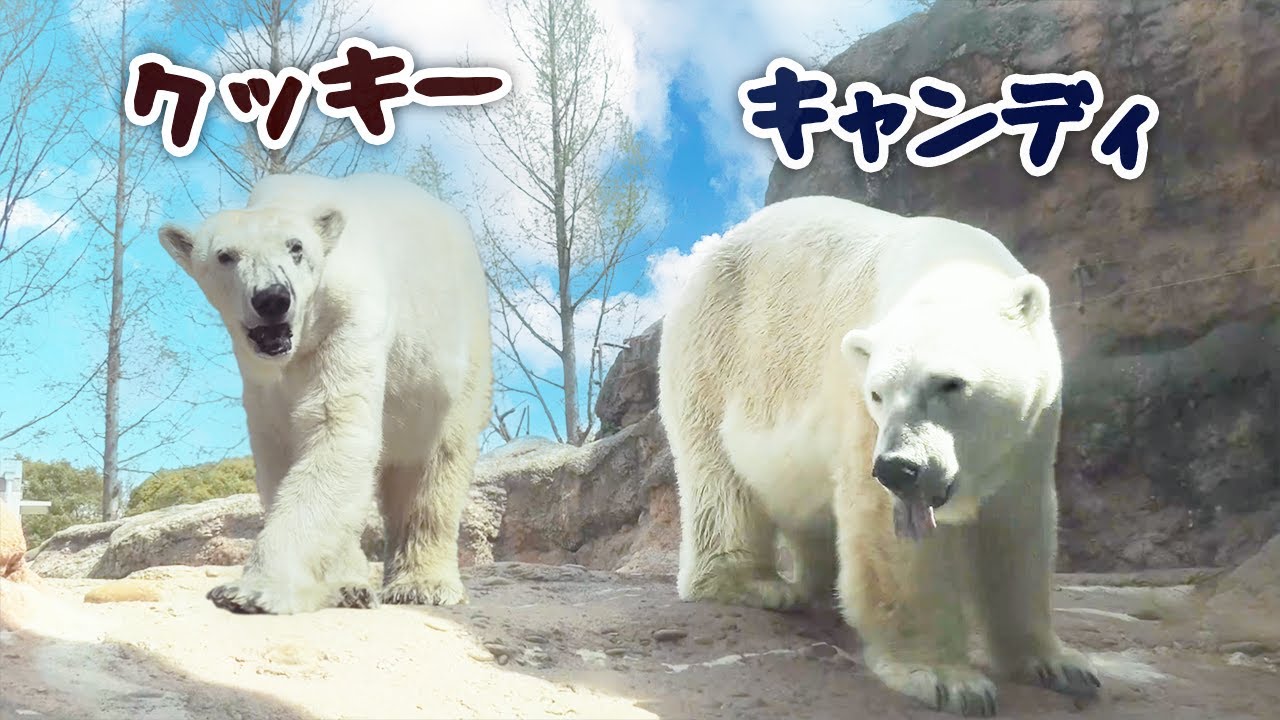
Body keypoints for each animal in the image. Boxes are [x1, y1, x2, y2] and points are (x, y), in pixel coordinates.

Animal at [158, 172, 492, 614]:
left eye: (296, 248)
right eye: (226, 256)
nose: (272, 298)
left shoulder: (350, 321)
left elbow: (337, 430)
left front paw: (248, 591)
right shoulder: (260, 378)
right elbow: (283, 454)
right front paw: (340, 584)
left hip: (457, 351)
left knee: (437, 459)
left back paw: (422, 584)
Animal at [657, 195, 1099, 715]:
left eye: (950, 383)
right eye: (878, 393)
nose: (899, 468)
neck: (952, 263)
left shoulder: (1033, 427)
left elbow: (1017, 528)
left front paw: (1060, 665)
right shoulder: (860, 408)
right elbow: (891, 534)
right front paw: (945, 678)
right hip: (715, 356)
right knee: (720, 482)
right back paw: (756, 584)